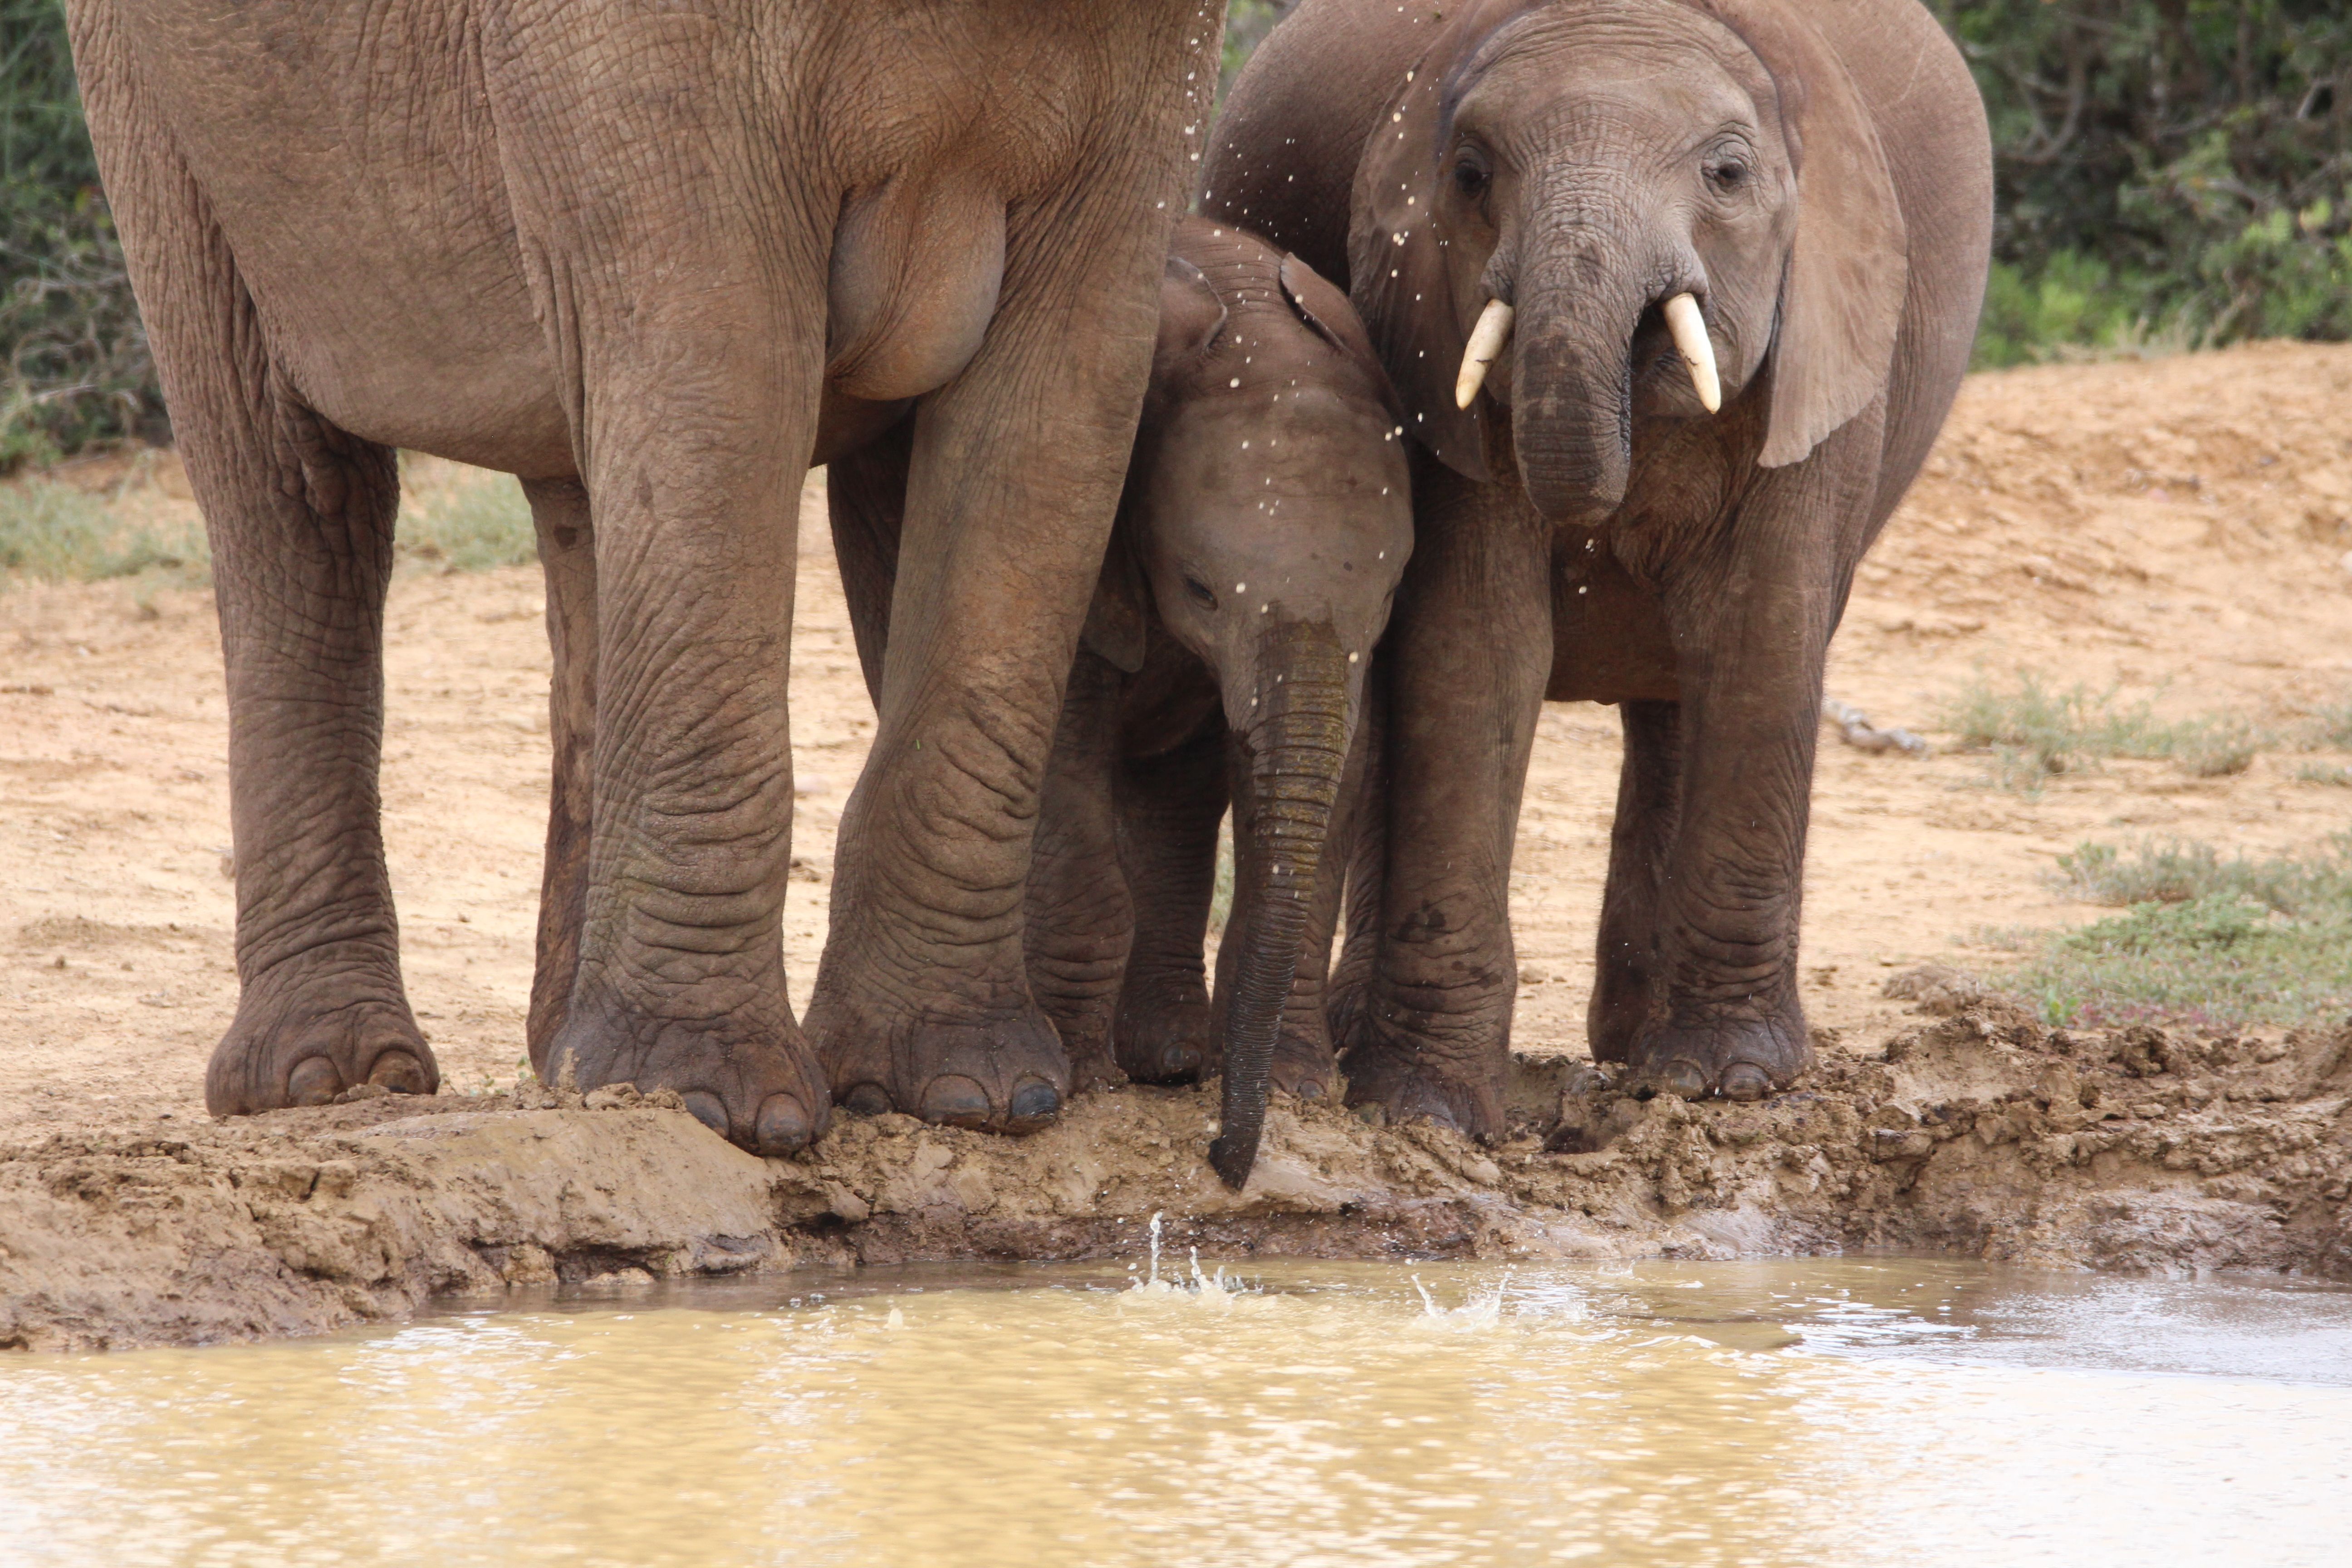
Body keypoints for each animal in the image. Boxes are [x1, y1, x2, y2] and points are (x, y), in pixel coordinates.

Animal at [67, 0, 1227, 1150]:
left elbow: (1057, 408)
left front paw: (968, 1097)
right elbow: (720, 374)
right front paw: (710, 1106)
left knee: (578, 485)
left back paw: (565, 1063)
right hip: (156, 99)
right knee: (292, 487)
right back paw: (329, 1081)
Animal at [828, 216, 1411, 1185]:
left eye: (1395, 587)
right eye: (1201, 589)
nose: (1218, 1156)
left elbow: (1338, 773)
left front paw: (1293, 1090)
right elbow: (1064, 748)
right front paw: (1082, 1080)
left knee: (1175, 797)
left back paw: (1168, 1057)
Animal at [1202, 0, 1992, 1134]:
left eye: (1728, 175)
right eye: (1471, 176)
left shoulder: (1832, 346)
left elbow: (1759, 631)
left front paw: (1727, 1082)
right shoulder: (1426, 340)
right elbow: (1477, 645)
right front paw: (1425, 1113)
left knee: (1677, 699)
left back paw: (1639, 1052)